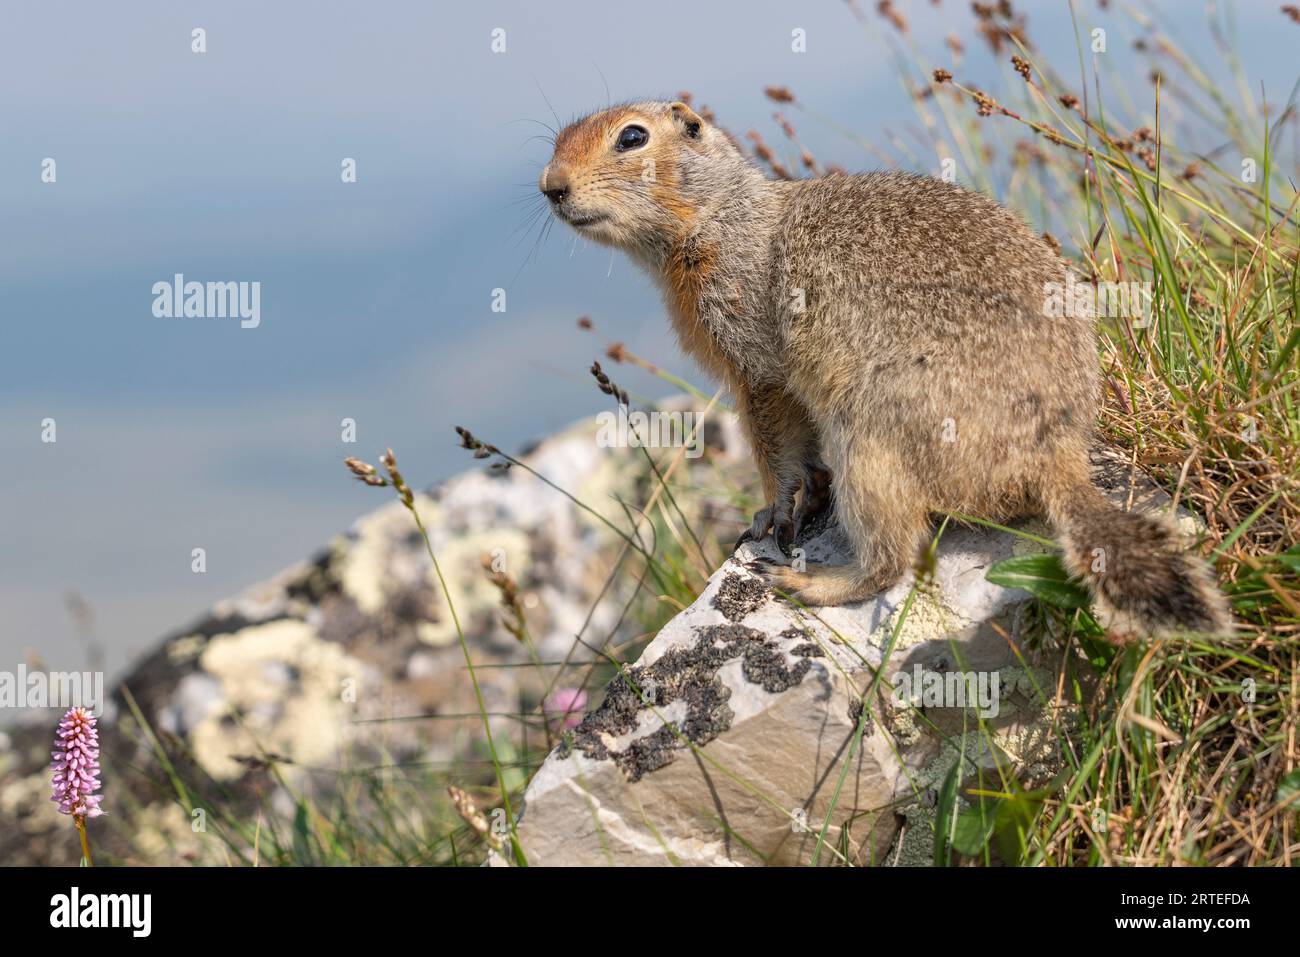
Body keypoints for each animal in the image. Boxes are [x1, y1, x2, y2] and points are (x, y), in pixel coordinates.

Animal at [539, 100, 1230, 641]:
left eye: (632, 137)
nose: (550, 185)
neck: (723, 217)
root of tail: (1056, 454)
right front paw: (799, 496)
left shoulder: (755, 358)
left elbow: (774, 442)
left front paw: (768, 515)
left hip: (869, 435)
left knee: (896, 555)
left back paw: (809, 581)